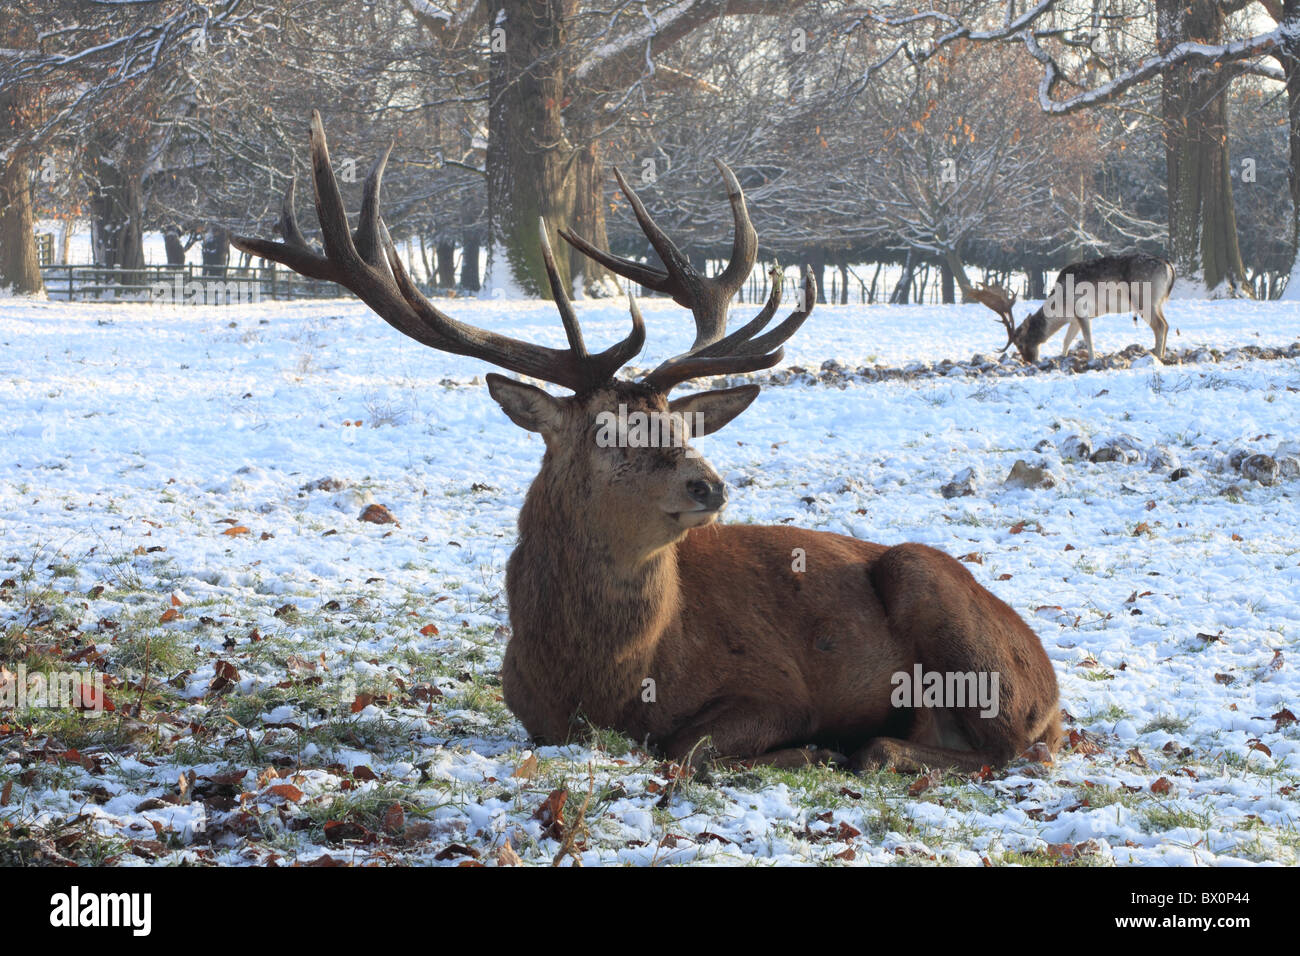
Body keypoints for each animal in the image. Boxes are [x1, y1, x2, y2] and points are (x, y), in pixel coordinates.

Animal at [233, 112, 1061, 773]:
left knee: (999, 750)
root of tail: (1050, 687)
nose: (709, 484)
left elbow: (684, 747)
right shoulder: (529, 713)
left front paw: (807, 748)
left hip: (941, 602)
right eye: (607, 430)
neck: (607, 679)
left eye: (681, 424)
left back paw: (867, 747)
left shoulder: (775, 687)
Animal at [994, 254, 1175, 363]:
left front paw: (1091, 359)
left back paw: (1157, 356)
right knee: (1166, 325)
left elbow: (1087, 337)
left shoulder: (1081, 309)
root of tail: (1168, 266)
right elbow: (1067, 339)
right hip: (1158, 302)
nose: (1029, 361)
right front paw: (1062, 356)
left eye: (1020, 342)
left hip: (1144, 300)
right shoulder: (1073, 320)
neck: (1062, 308)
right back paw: (1163, 354)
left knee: (1160, 326)